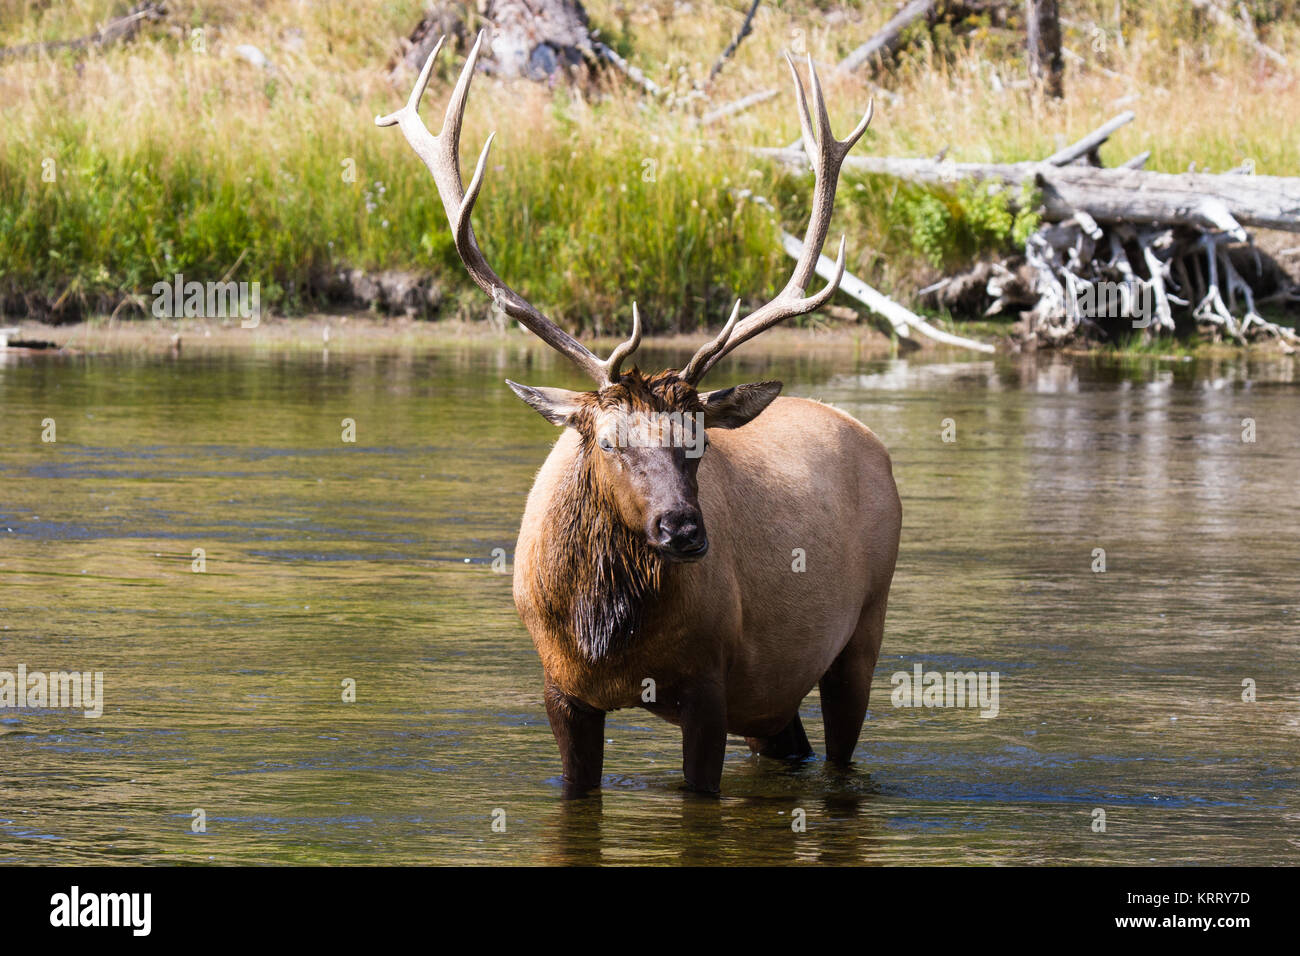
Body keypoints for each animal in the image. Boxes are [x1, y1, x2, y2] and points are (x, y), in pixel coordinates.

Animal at [377, 31, 901, 796]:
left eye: (699, 445)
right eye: (608, 443)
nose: (683, 530)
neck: (606, 637)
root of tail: (875, 444)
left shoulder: (711, 686)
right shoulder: (562, 690)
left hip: (861, 633)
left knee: (841, 745)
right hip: (772, 697)